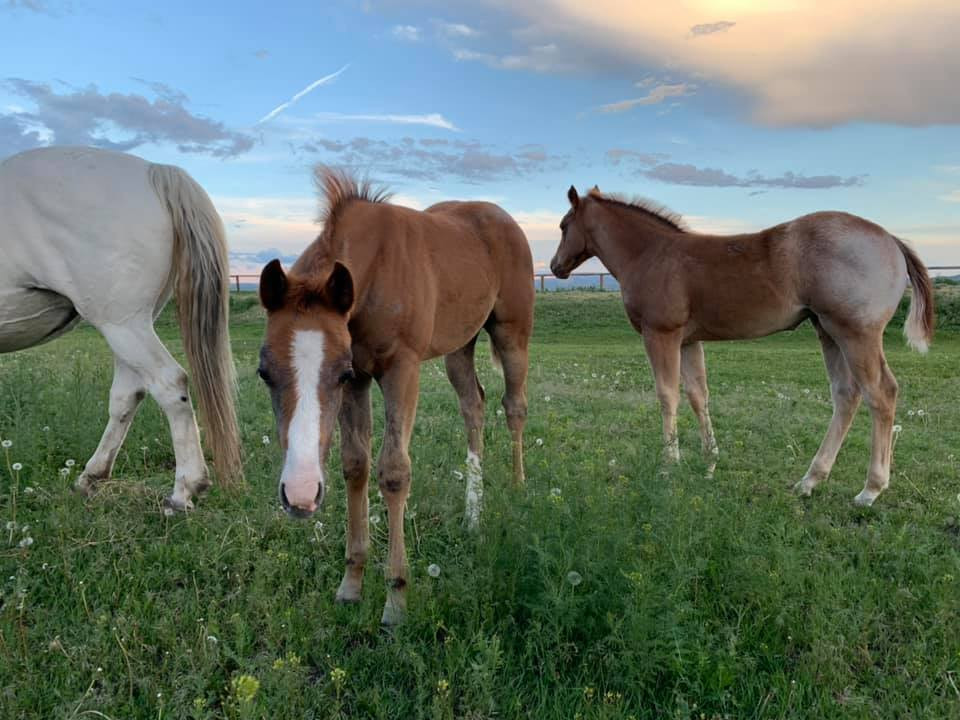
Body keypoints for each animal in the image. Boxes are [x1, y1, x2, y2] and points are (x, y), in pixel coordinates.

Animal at [0, 146, 242, 510]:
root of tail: (154, 171)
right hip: (129, 325)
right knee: (128, 394)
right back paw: (91, 477)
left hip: (122, 325)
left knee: (169, 384)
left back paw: (184, 491)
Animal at [257, 166, 534, 625]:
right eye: (264, 373)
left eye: (338, 373)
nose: (300, 495)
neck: (374, 280)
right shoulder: (361, 380)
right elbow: (355, 465)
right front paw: (351, 583)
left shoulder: (399, 370)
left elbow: (394, 472)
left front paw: (396, 600)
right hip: (459, 346)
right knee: (473, 406)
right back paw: (473, 516)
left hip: (512, 334)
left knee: (514, 406)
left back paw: (516, 490)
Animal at [550, 185, 934, 507]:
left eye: (564, 225)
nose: (555, 266)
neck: (651, 254)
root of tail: (891, 239)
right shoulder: (689, 341)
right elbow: (698, 395)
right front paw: (709, 462)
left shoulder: (661, 334)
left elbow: (667, 395)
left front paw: (668, 464)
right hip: (827, 331)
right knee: (846, 395)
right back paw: (809, 481)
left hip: (856, 334)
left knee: (881, 393)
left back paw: (870, 490)